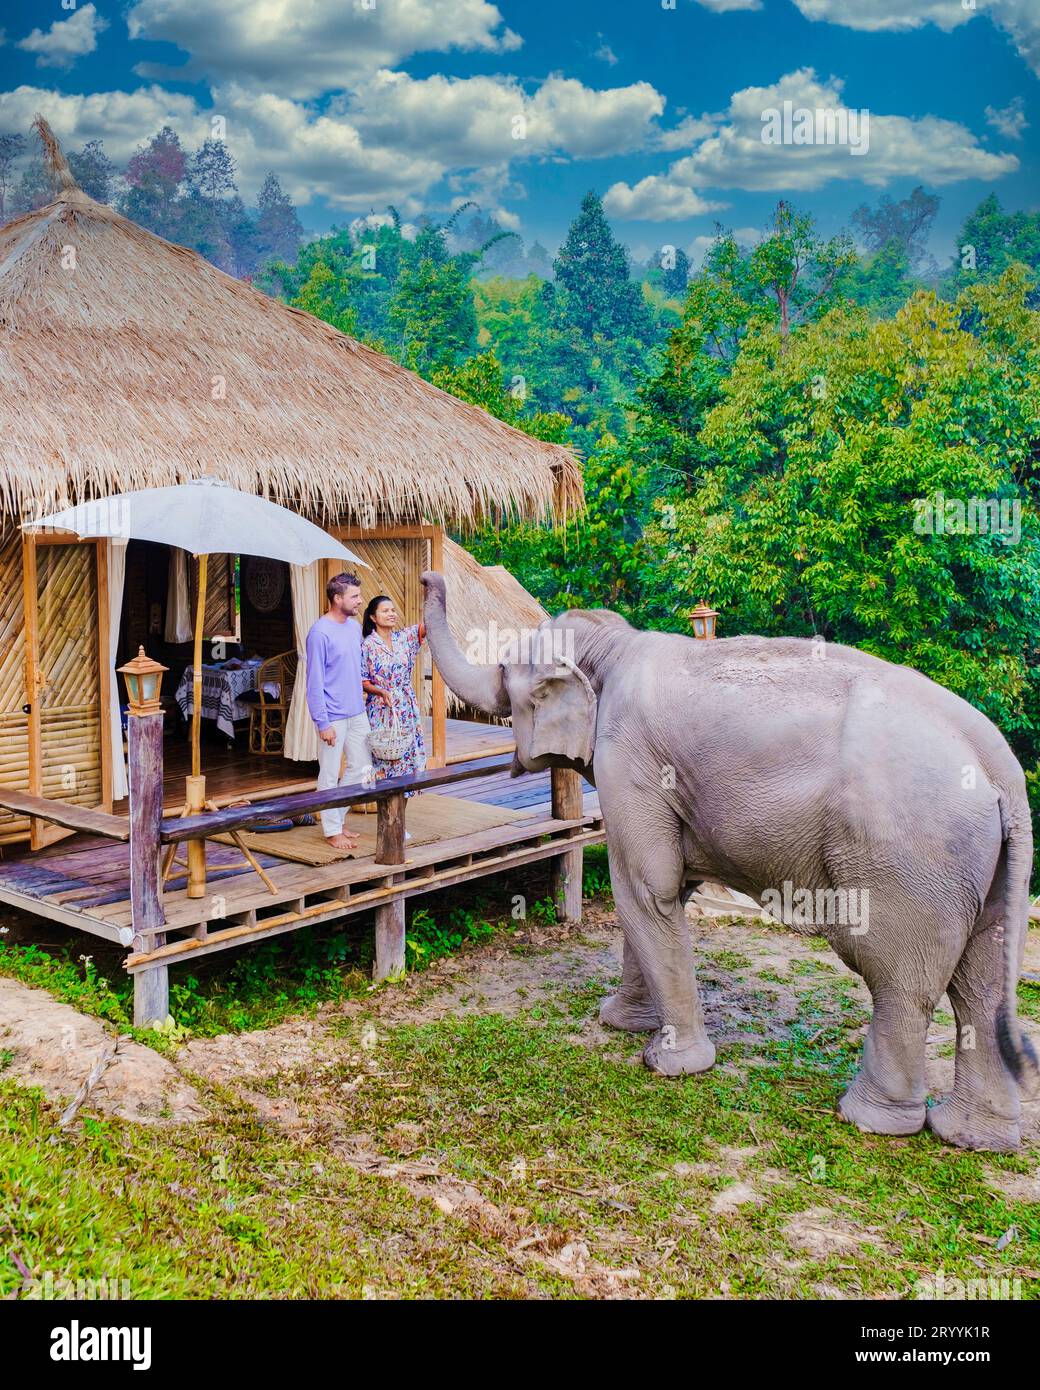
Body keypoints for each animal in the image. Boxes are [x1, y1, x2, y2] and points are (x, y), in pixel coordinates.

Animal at [420, 570, 1040, 1152]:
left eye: (507, 675)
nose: (428, 577)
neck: (615, 645)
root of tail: (1001, 768)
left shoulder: (630, 758)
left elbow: (646, 889)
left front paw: (667, 1064)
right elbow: (660, 894)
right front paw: (621, 1023)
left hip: (909, 855)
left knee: (897, 978)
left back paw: (870, 1120)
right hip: (984, 864)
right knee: (982, 984)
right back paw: (971, 1136)